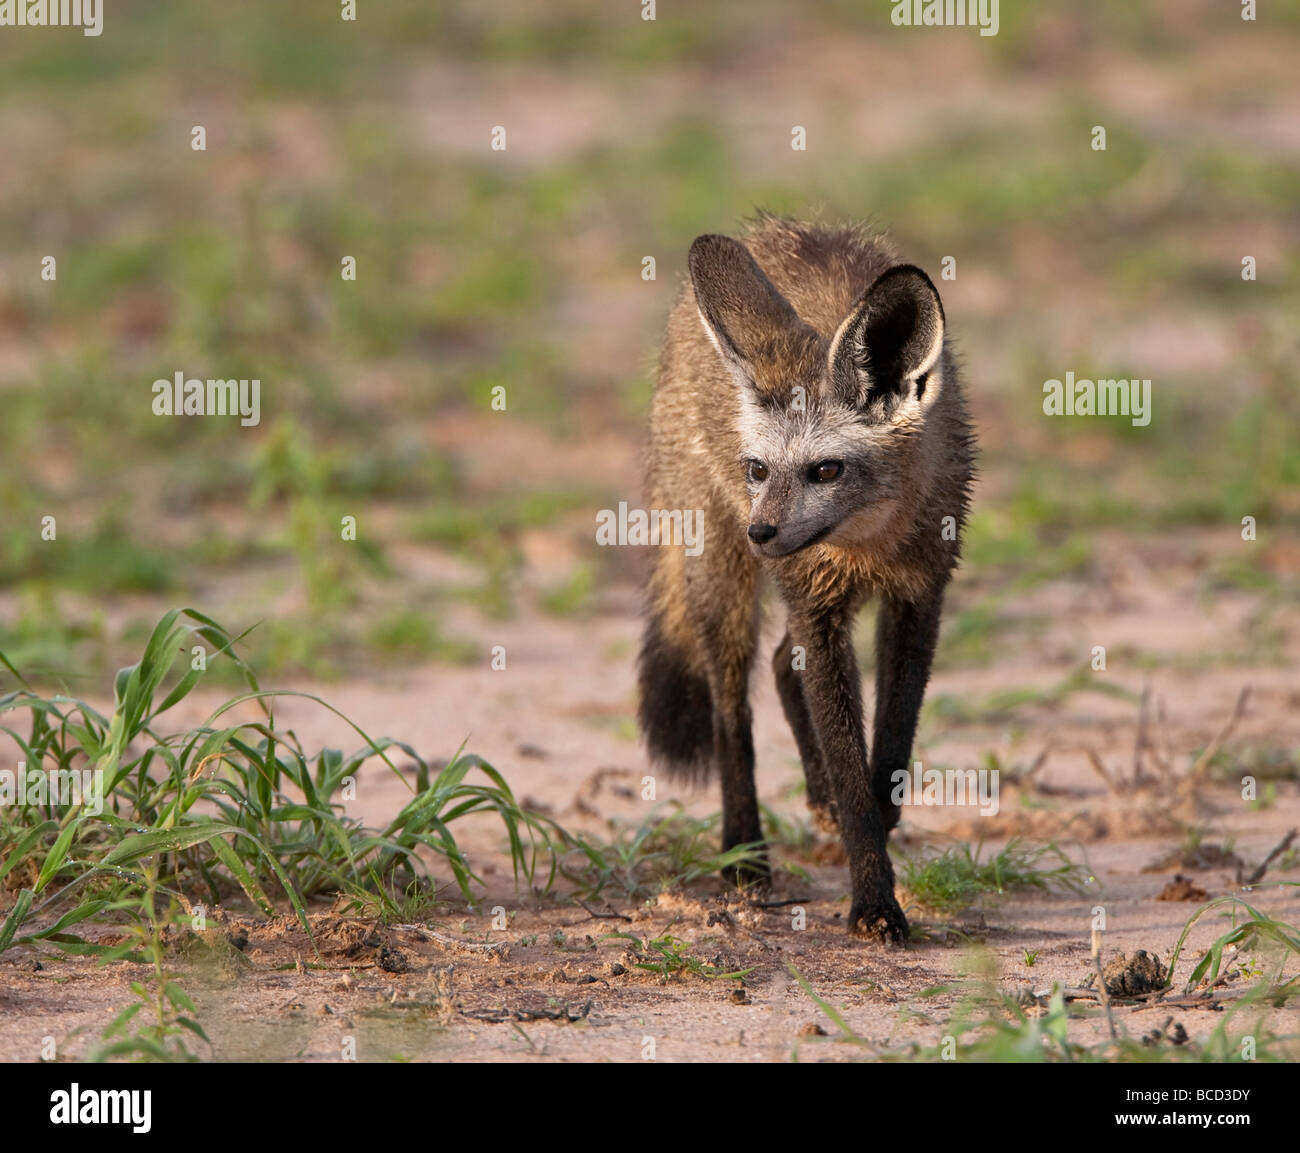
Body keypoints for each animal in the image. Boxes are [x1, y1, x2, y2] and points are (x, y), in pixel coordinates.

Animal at [637, 214, 974, 944]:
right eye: (759, 469)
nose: (761, 532)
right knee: (732, 706)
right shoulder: (817, 606)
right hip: (723, 585)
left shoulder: (919, 597)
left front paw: (876, 810)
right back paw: (744, 850)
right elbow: (847, 765)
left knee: (777, 666)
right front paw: (874, 897)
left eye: (825, 471)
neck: (868, 547)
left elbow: (890, 744)